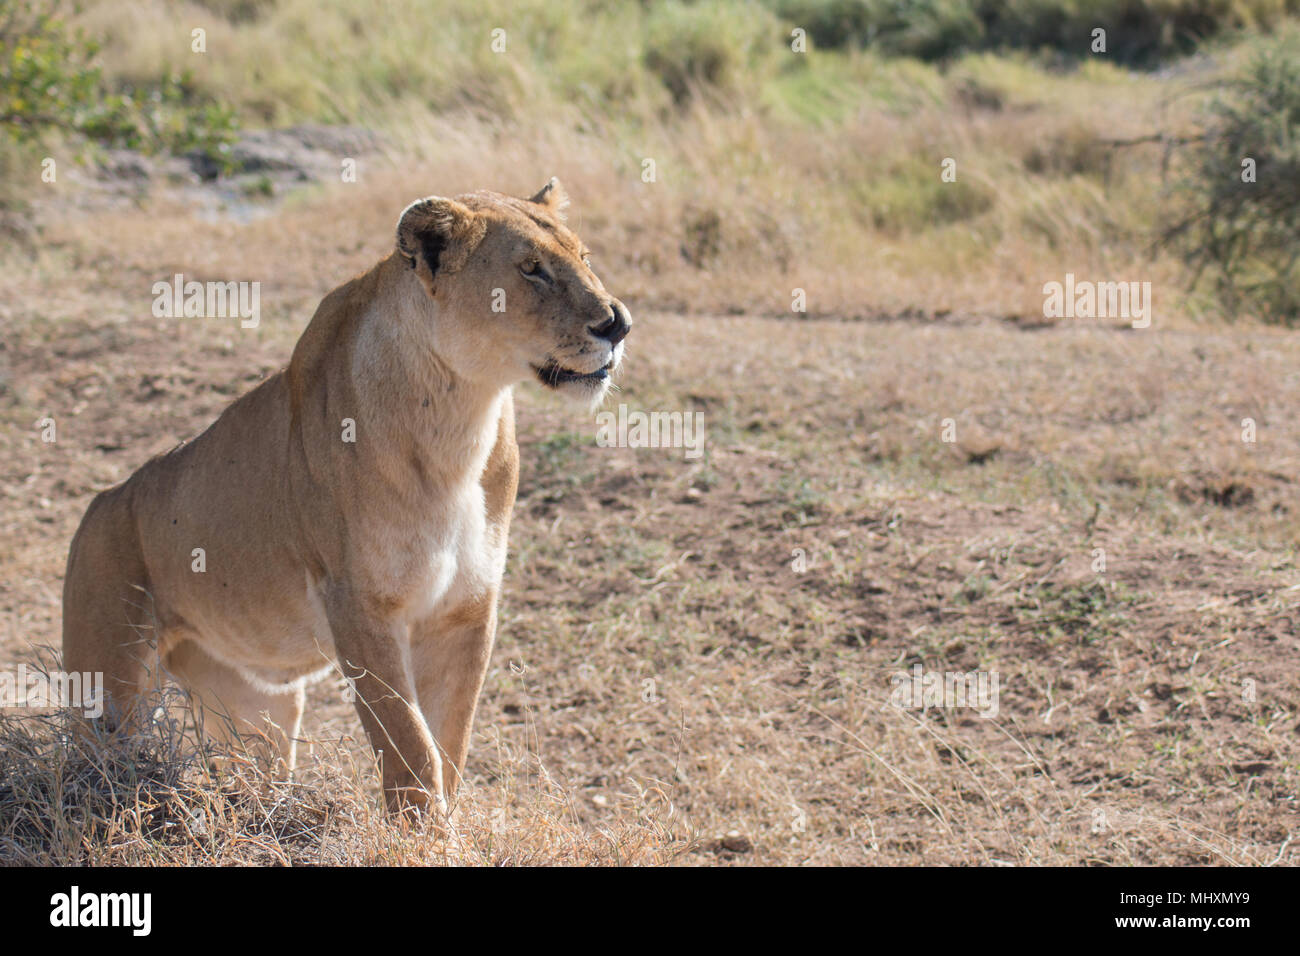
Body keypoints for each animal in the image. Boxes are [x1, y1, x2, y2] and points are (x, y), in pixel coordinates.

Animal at [61, 178, 631, 813]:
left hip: (257, 707)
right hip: (110, 684)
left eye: (584, 258)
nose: (618, 325)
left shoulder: (466, 607)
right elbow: (409, 743)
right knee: (93, 756)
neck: (461, 414)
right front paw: (426, 827)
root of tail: (102, 503)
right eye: (531, 269)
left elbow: (449, 742)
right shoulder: (358, 602)